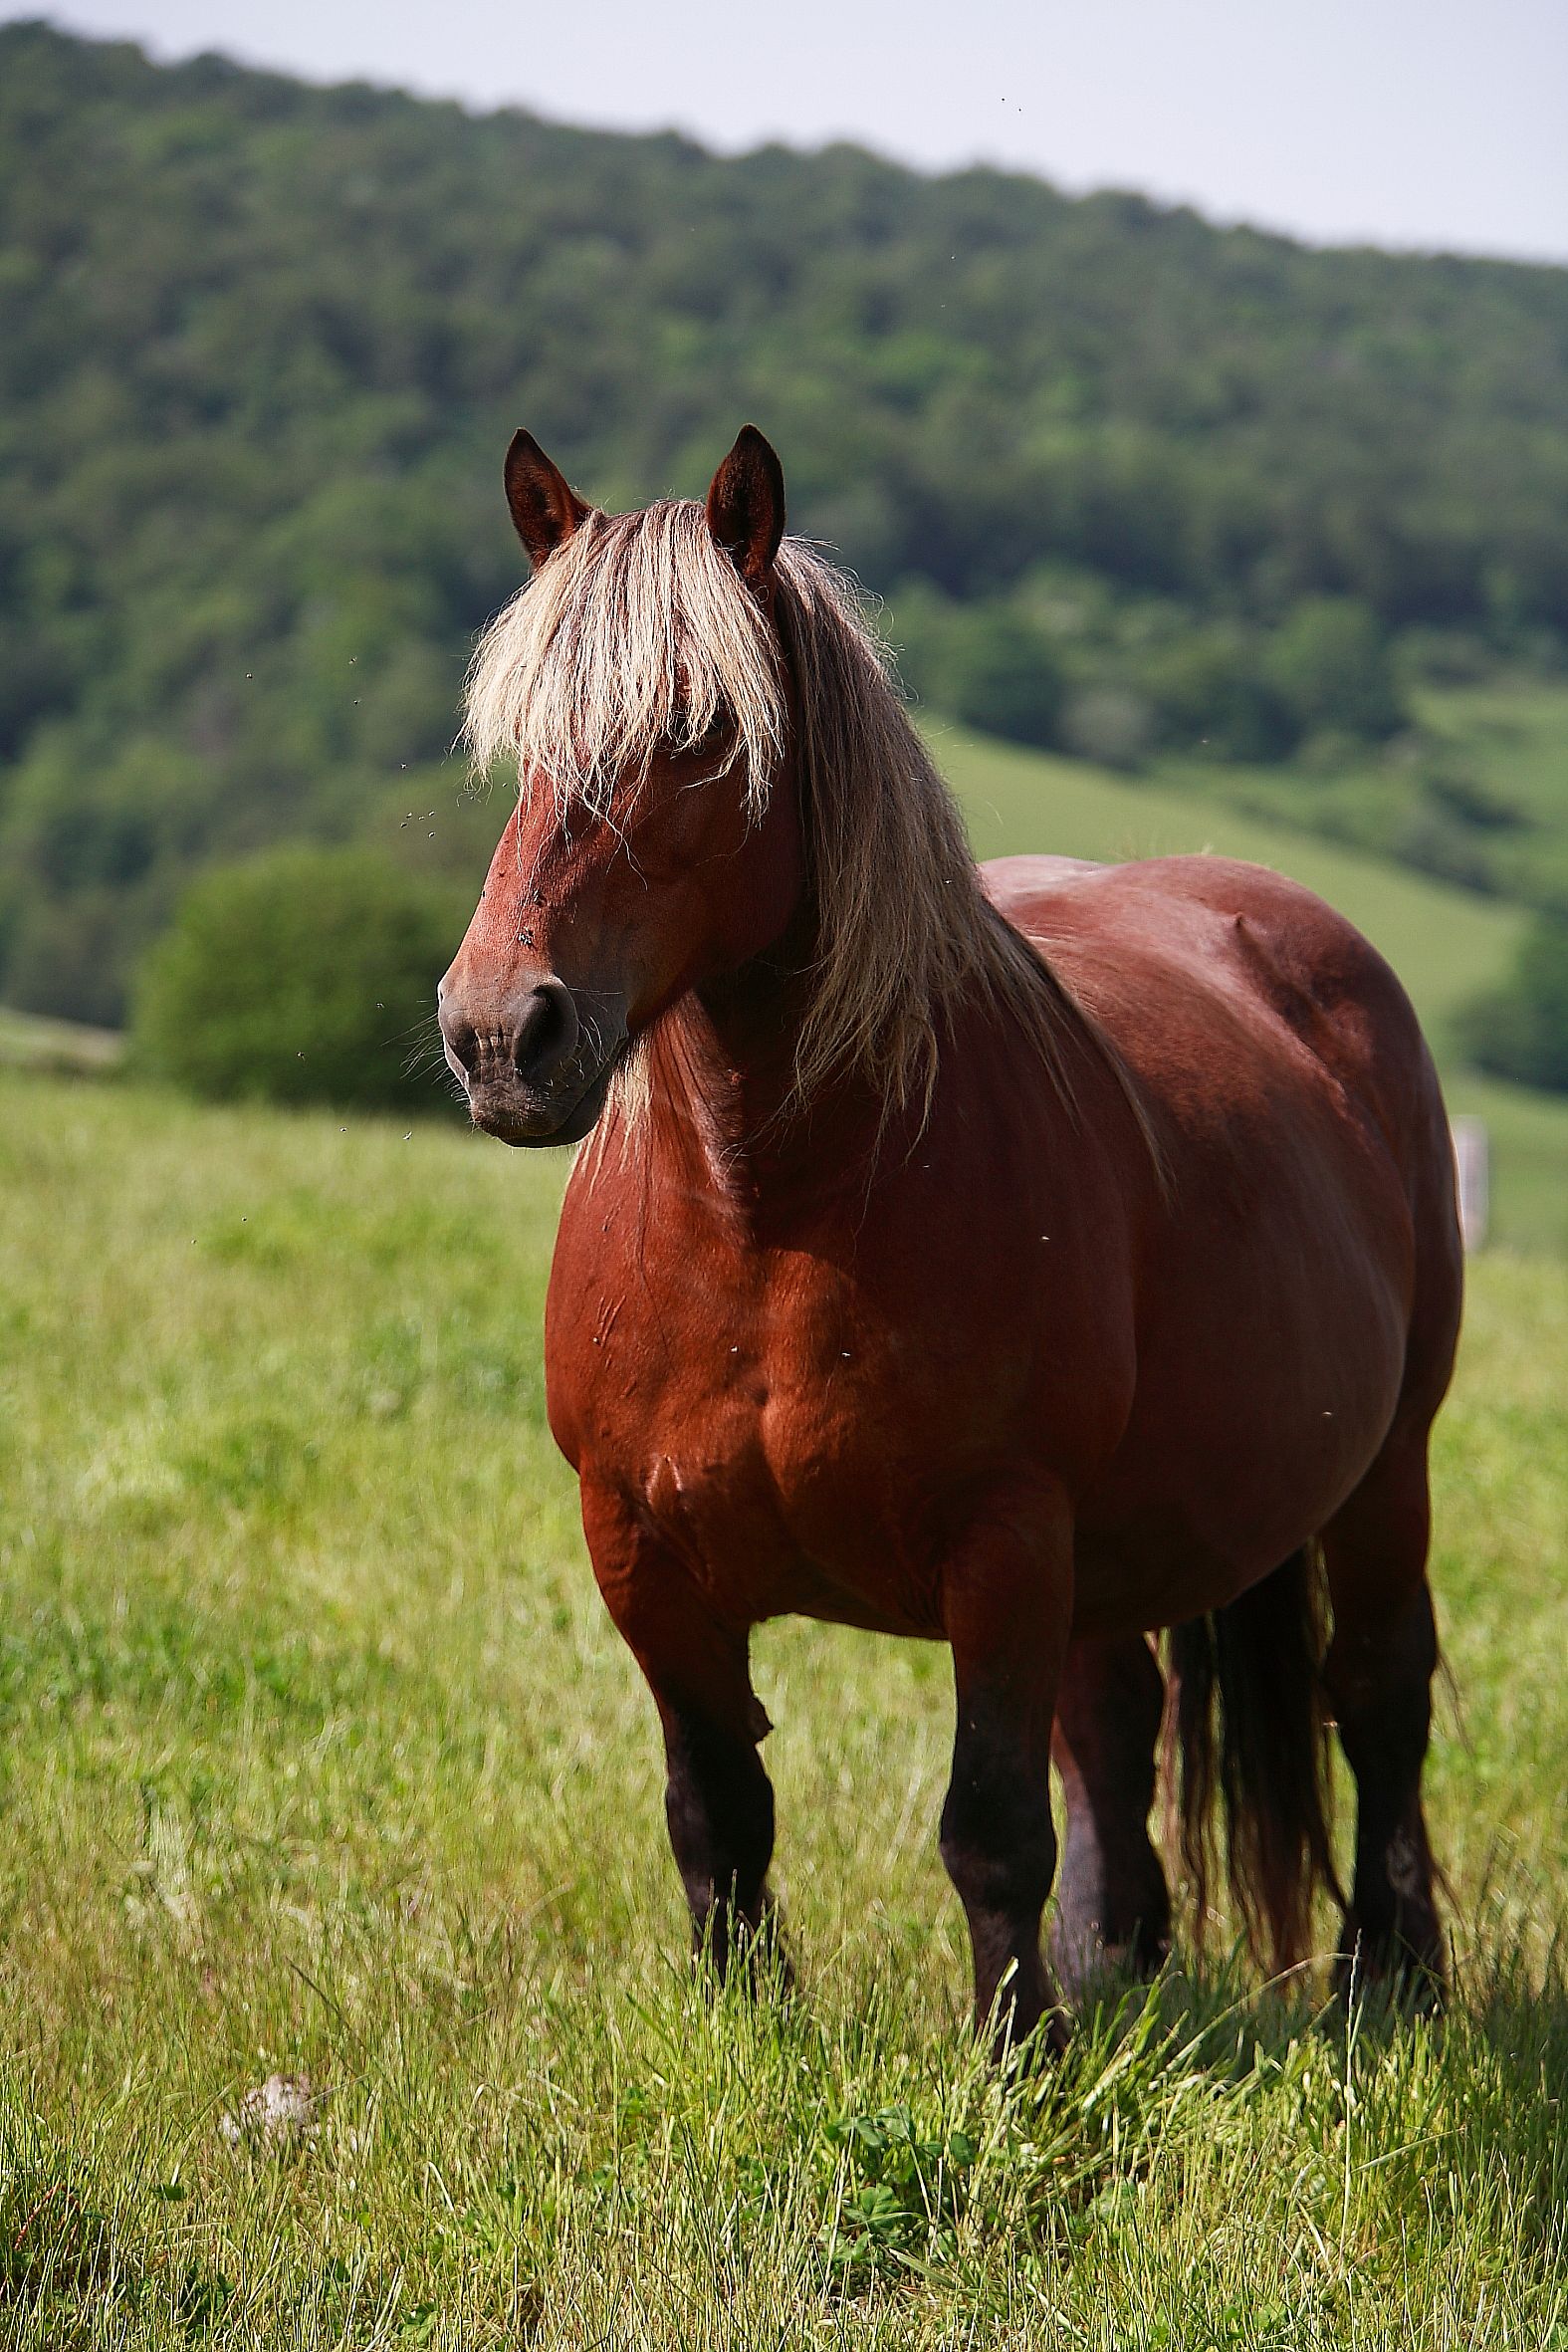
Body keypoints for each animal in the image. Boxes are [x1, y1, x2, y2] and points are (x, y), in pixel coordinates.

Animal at [438, 424, 1462, 2051]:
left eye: (701, 731)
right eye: (520, 738)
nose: (497, 1035)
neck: (769, 1216)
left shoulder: (1002, 1536)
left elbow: (988, 1826)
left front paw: (1018, 2060)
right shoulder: (639, 1552)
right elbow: (717, 1813)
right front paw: (750, 2035)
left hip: (1380, 1471)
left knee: (1374, 1695)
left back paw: (1389, 1976)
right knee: (1116, 1719)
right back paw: (1119, 1957)